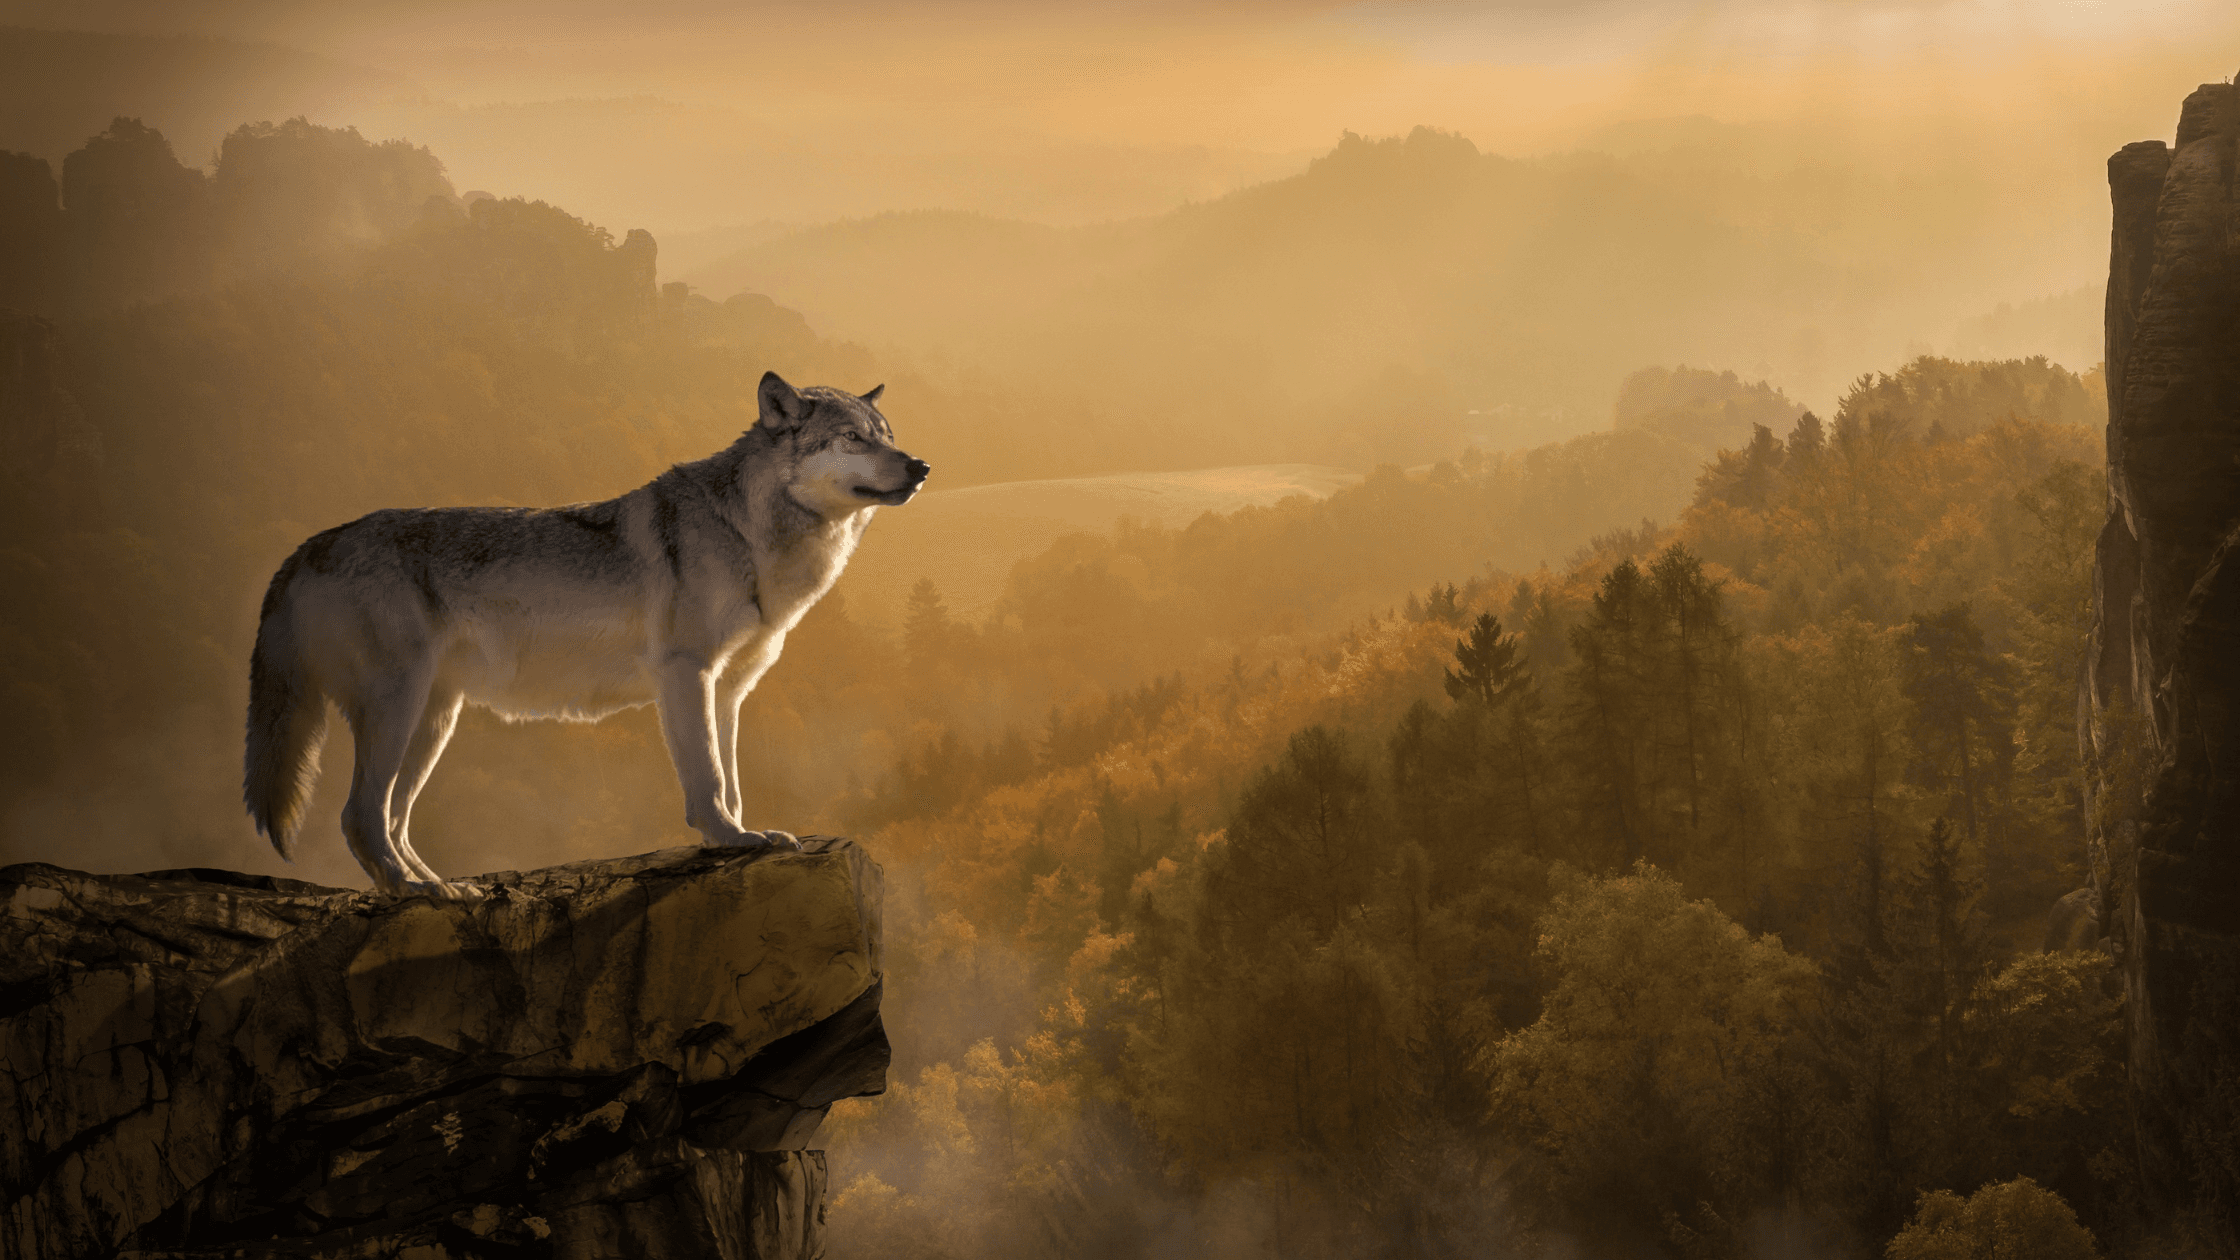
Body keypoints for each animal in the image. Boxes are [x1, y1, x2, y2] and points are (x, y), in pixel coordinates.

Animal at [243, 372, 927, 899]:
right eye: (853, 438)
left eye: (888, 436)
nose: (922, 465)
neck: (748, 533)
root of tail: (308, 546)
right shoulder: (687, 674)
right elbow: (707, 779)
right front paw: (730, 839)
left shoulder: (729, 690)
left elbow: (731, 781)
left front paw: (743, 835)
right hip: (399, 710)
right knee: (360, 816)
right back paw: (413, 892)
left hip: (434, 721)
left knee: (394, 819)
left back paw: (442, 887)